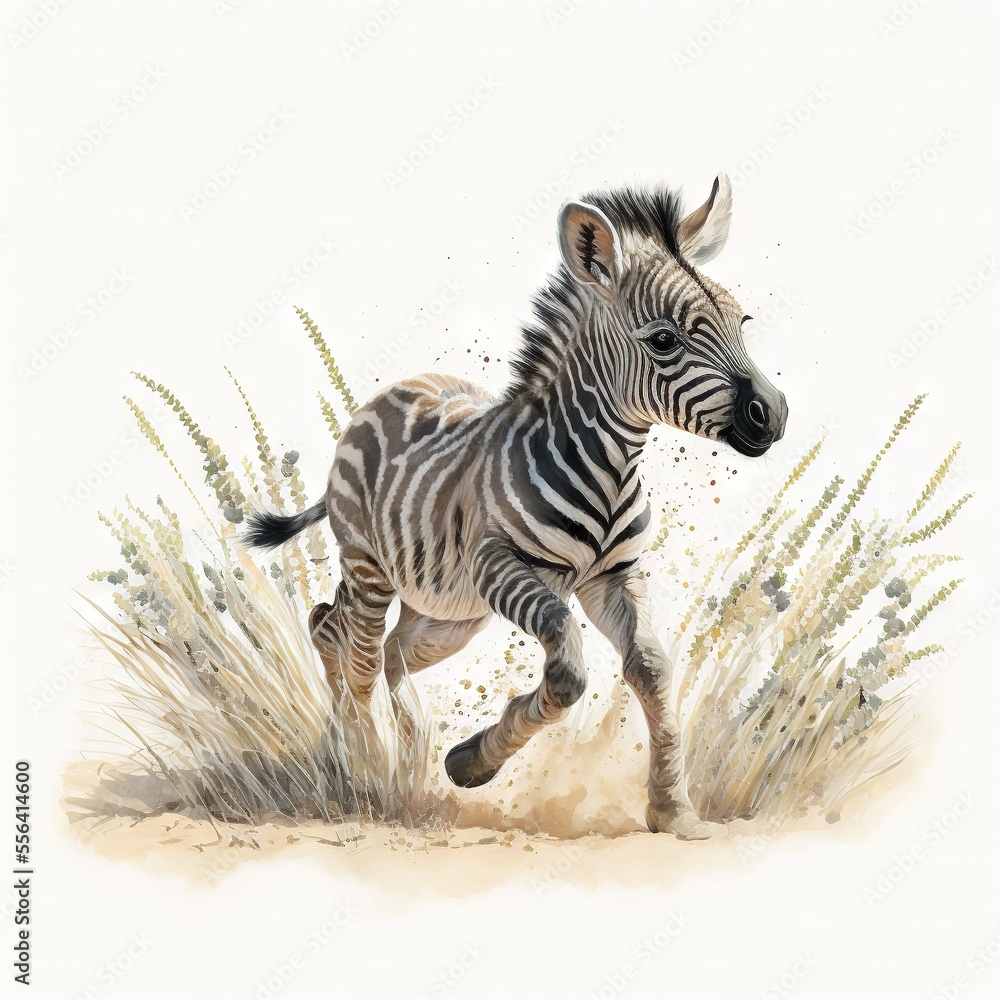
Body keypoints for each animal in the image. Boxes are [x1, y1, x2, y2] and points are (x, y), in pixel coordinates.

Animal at [246, 174, 787, 839]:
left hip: (450, 611)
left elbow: (652, 669)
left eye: (743, 319)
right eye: (664, 340)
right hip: (374, 567)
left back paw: (396, 751)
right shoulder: (503, 566)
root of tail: (390, 391)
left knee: (374, 647)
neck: (610, 464)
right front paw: (471, 763)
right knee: (356, 652)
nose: (773, 414)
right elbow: (568, 674)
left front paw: (673, 811)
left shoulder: (613, 576)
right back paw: (363, 769)